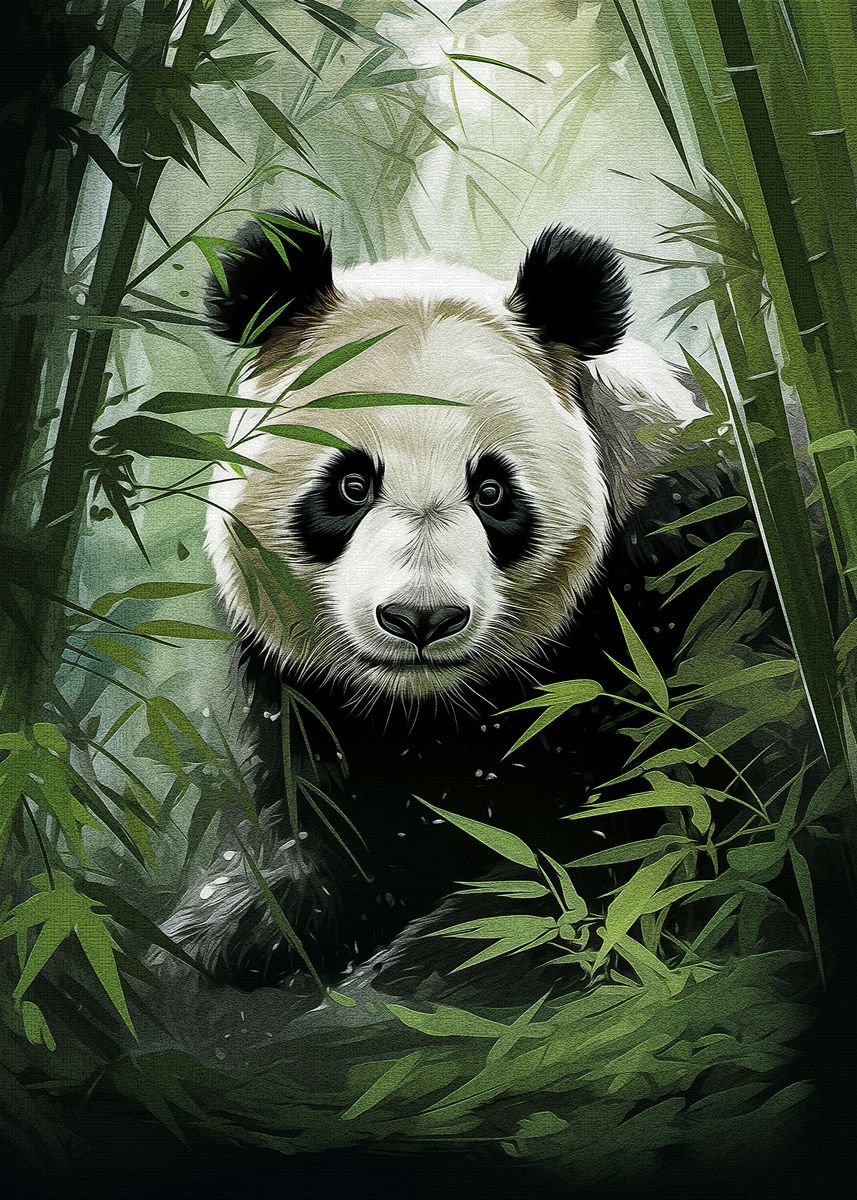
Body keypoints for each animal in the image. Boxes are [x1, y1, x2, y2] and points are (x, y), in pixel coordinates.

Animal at [159, 211, 759, 993]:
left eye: (492, 490)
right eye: (351, 485)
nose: (421, 619)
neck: (433, 704)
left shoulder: (666, 587)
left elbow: (630, 824)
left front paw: (432, 966)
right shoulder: (309, 693)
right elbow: (335, 828)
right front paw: (238, 925)